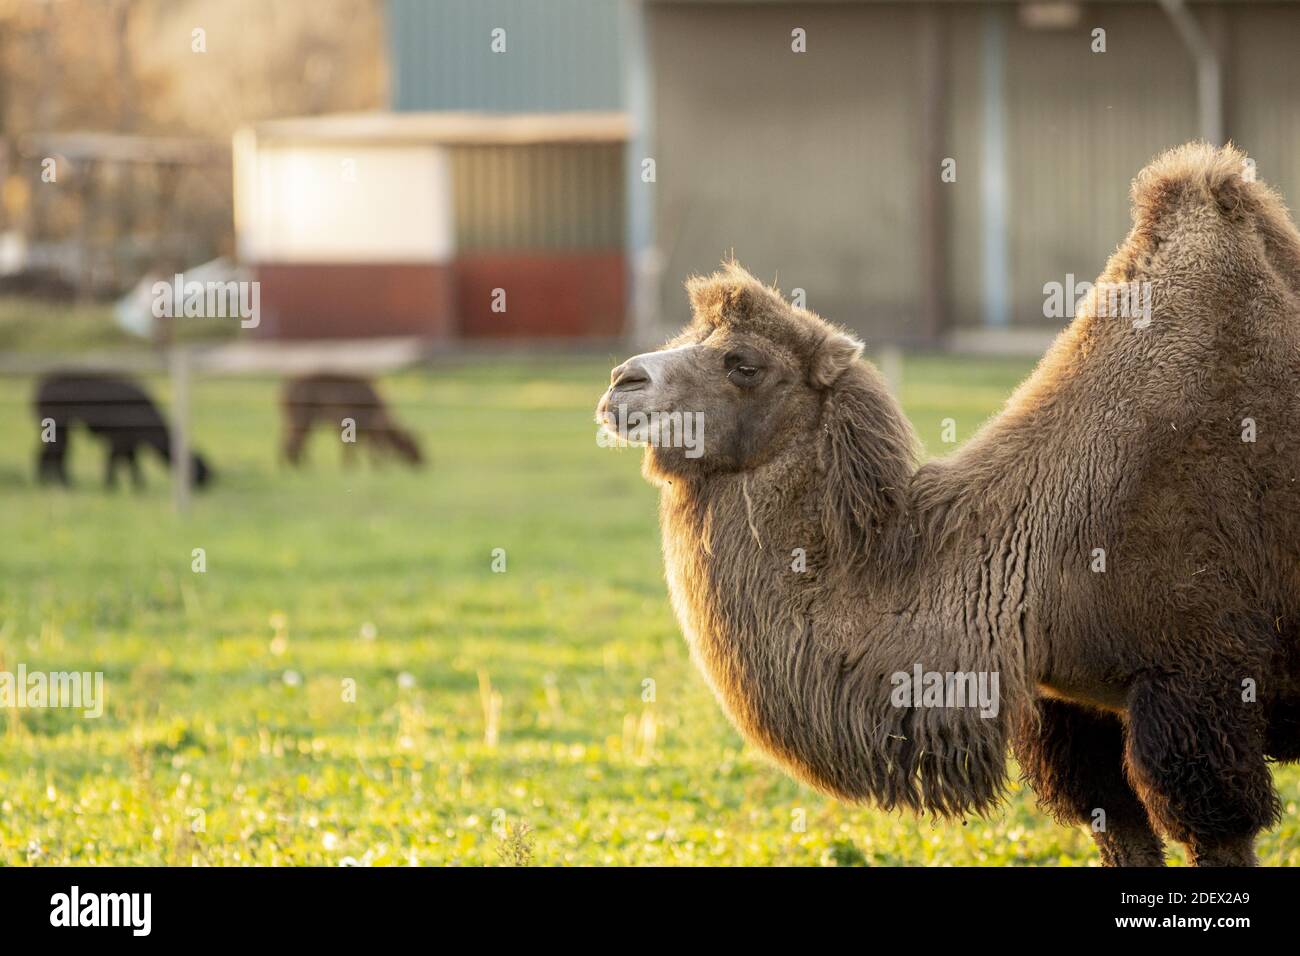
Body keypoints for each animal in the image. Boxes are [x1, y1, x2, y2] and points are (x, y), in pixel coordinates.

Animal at [596, 143, 1300, 867]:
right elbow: (1116, 824)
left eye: (743, 363)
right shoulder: (1075, 708)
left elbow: (1216, 829)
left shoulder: (1199, 680)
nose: (622, 382)